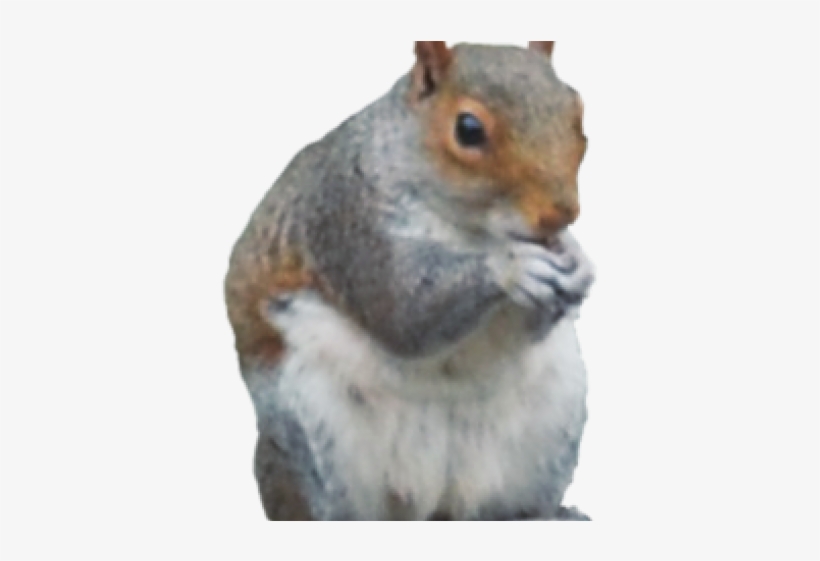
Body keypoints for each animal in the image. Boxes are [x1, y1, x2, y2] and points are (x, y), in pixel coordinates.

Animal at [224, 41, 595, 521]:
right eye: (468, 129)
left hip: (550, 422)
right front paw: (511, 265)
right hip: (311, 428)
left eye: (578, 113)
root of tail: (431, 507)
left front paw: (578, 259)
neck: (471, 228)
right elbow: (401, 309)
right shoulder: (350, 217)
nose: (560, 214)